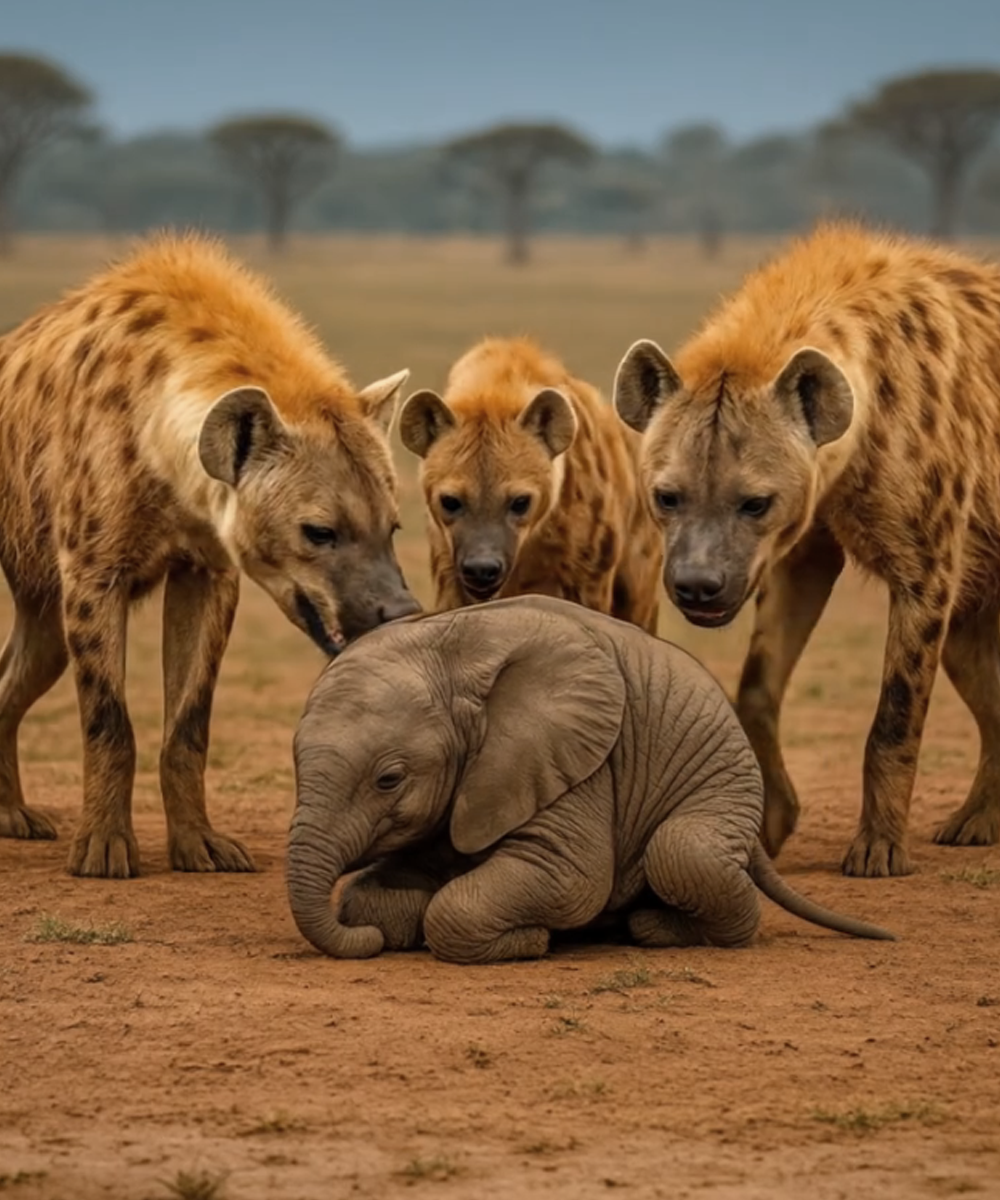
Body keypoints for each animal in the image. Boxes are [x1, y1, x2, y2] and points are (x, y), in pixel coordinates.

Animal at [287, 595, 896, 963]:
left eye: (389, 780)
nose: (365, 946)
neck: (452, 653)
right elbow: (370, 898)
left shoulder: (578, 763)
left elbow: (567, 881)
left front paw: (532, 939)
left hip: (725, 786)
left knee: (683, 852)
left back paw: (653, 929)